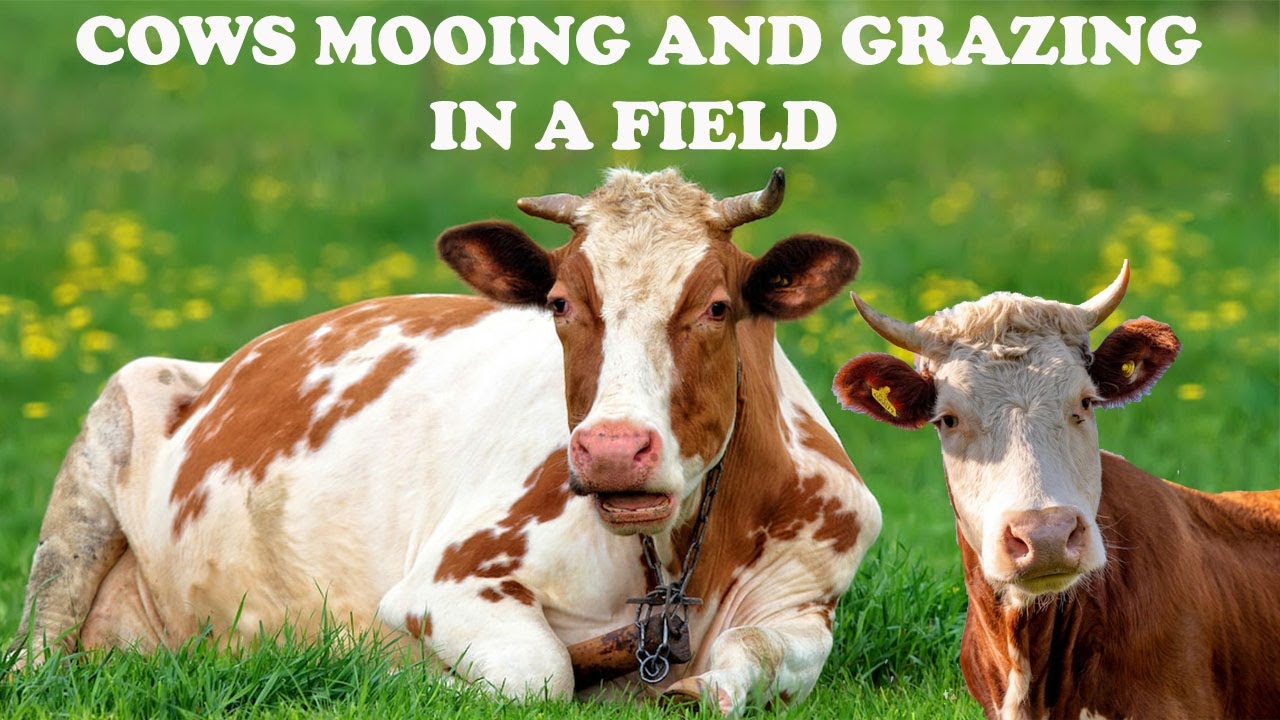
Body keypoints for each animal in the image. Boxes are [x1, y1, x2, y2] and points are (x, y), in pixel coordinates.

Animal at [9, 168, 881, 714]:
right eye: (561, 303)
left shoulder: (806, 599)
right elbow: (538, 673)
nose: (610, 448)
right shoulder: (446, 583)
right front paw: (403, 679)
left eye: (717, 307)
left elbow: (756, 665)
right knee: (38, 644)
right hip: (110, 428)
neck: (674, 555)